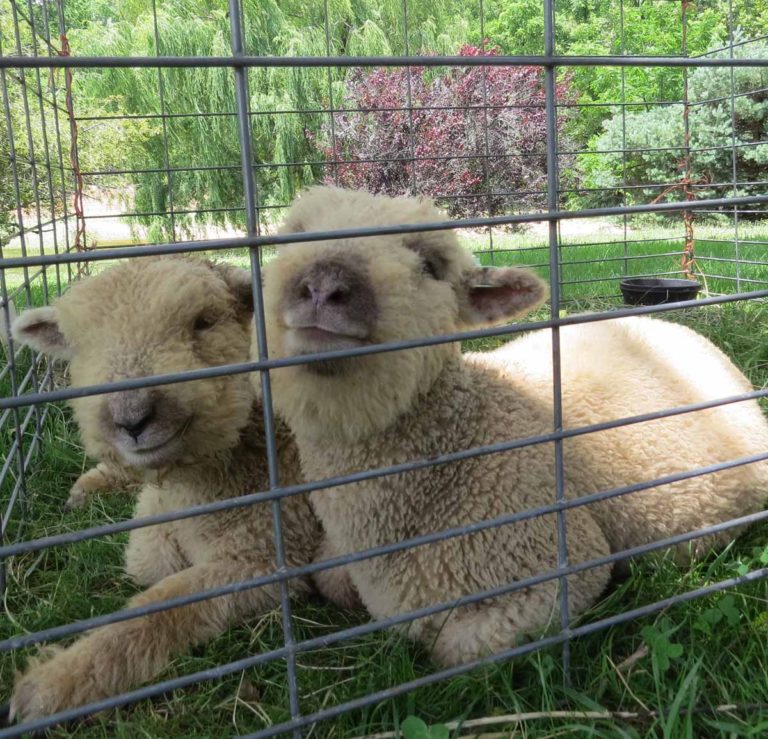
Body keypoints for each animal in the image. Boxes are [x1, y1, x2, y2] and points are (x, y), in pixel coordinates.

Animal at [7, 256, 322, 723]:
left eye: (204, 321)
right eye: (81, 346)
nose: (131, 417)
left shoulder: (266, 555)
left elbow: (162, 604)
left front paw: (56, 683)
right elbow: (148, 557)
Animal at [260, 185, 768, 667]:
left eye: (431, 264)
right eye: (291, 235)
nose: (324, 285)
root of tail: (681, 330)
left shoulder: (560, 565)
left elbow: (457, 650)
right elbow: (328, 577)